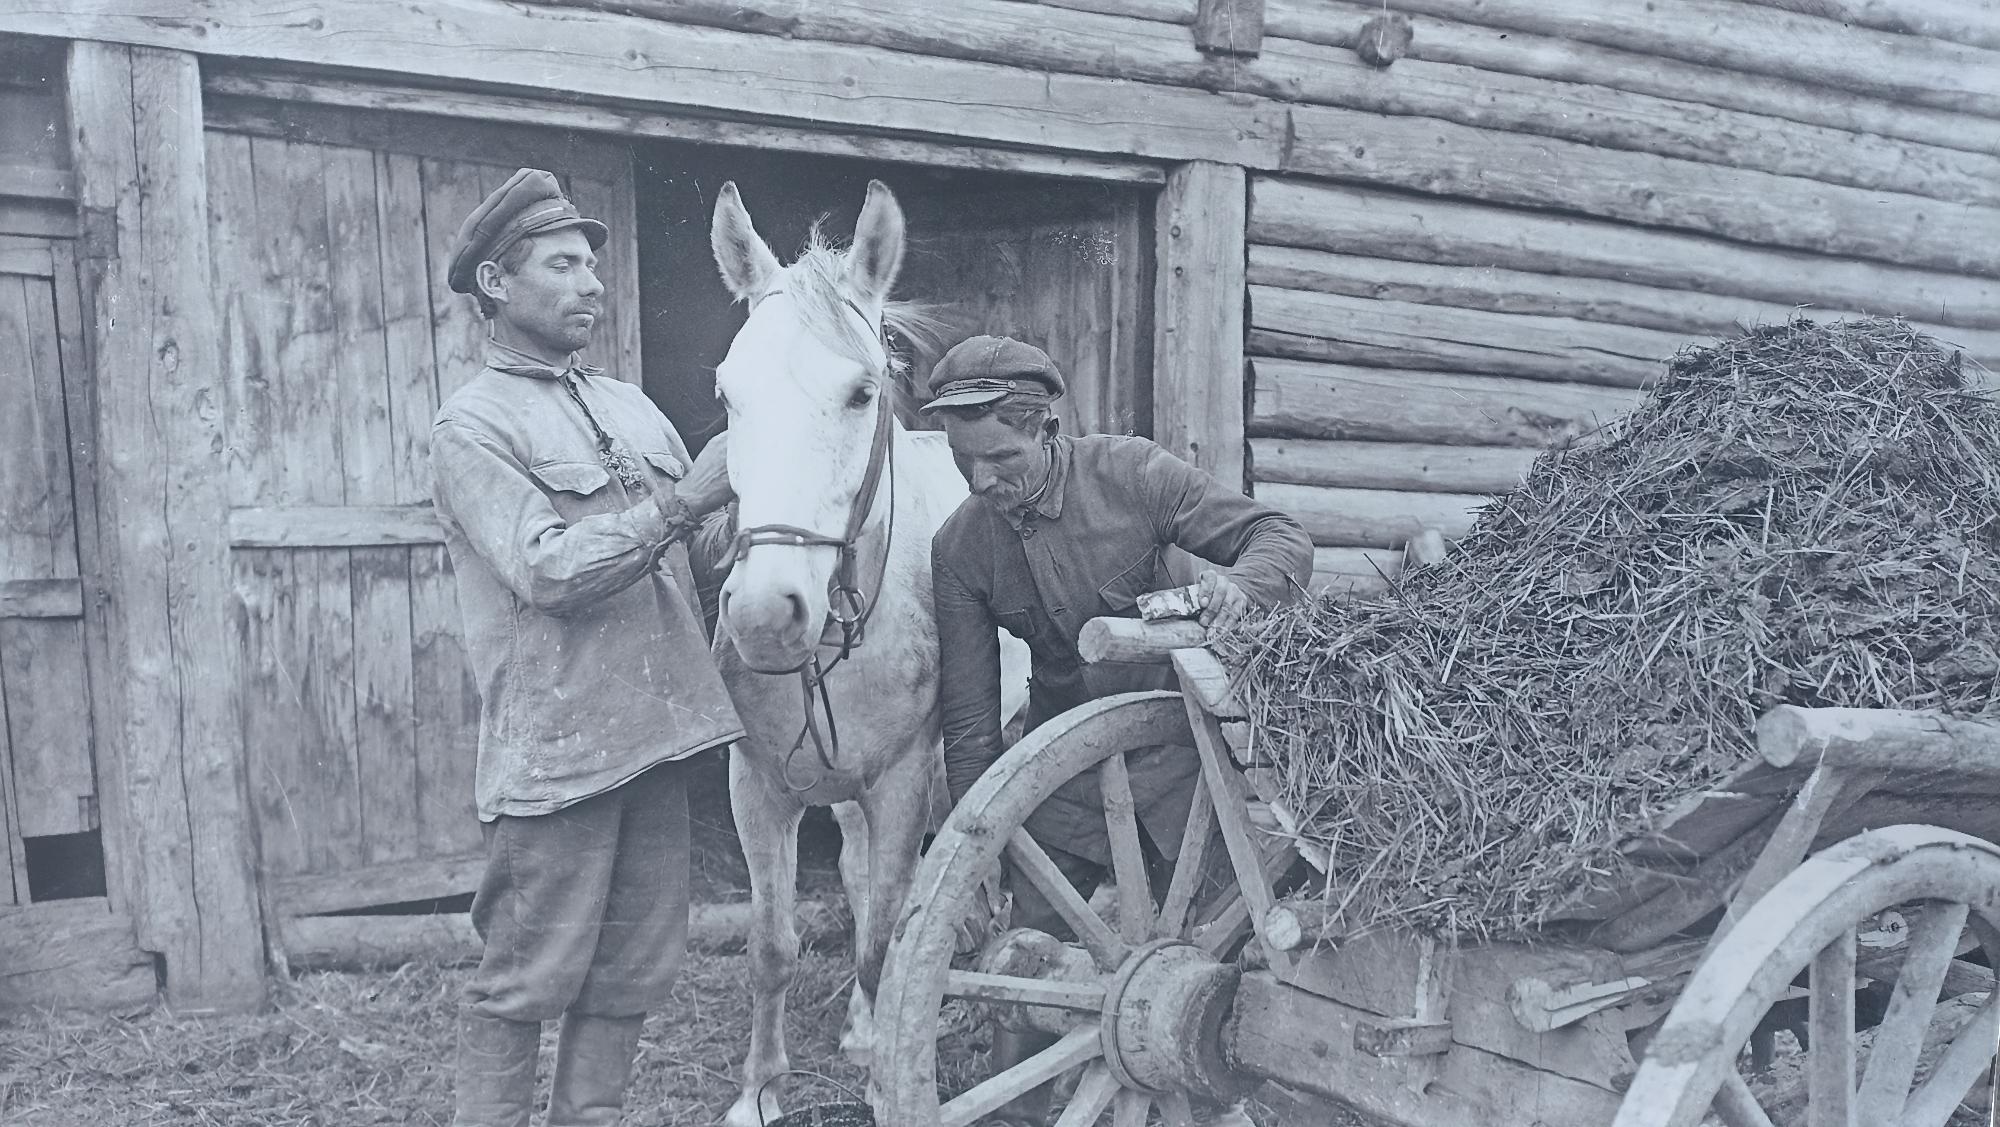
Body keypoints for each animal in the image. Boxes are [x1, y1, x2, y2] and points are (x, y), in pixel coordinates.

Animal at [708, 180, 1024, 1119]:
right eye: (728, 393)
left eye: (860, 392)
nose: (766, 614)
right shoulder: (758, 784)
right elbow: (772, 945)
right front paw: (759, 1091)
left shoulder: (904, 777)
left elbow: (889, 938)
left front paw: (890, 1082)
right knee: (849, 871)